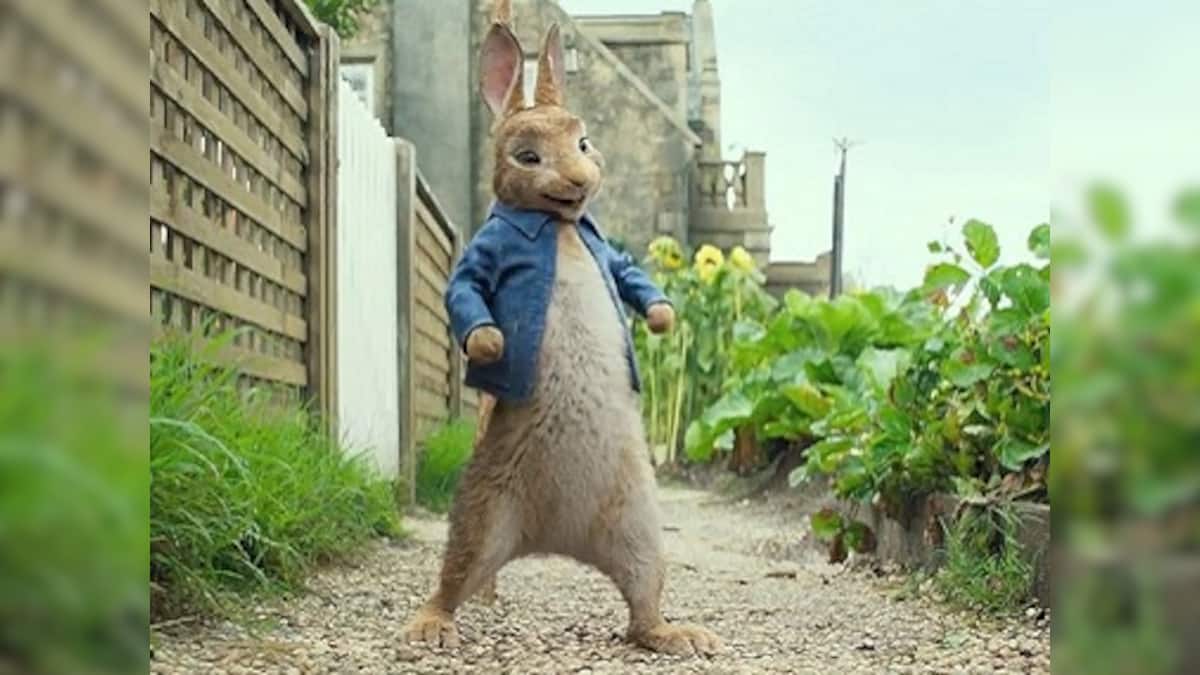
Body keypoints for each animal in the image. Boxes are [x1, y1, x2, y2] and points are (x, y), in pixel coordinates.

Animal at [399, 0, 721, 658]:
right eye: (528, 157)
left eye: (585, 140)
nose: (580, 180)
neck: (559, 226)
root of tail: (554, 538)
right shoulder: (482, 258)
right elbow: (465, 291)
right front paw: (489, 342)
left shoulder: (608, 254)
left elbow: (627, 273)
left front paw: (663, 316)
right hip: (482, 515)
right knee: (453, 581)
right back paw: (432, 626)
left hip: (640, 532)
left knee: (641, 610)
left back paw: (679, 635)